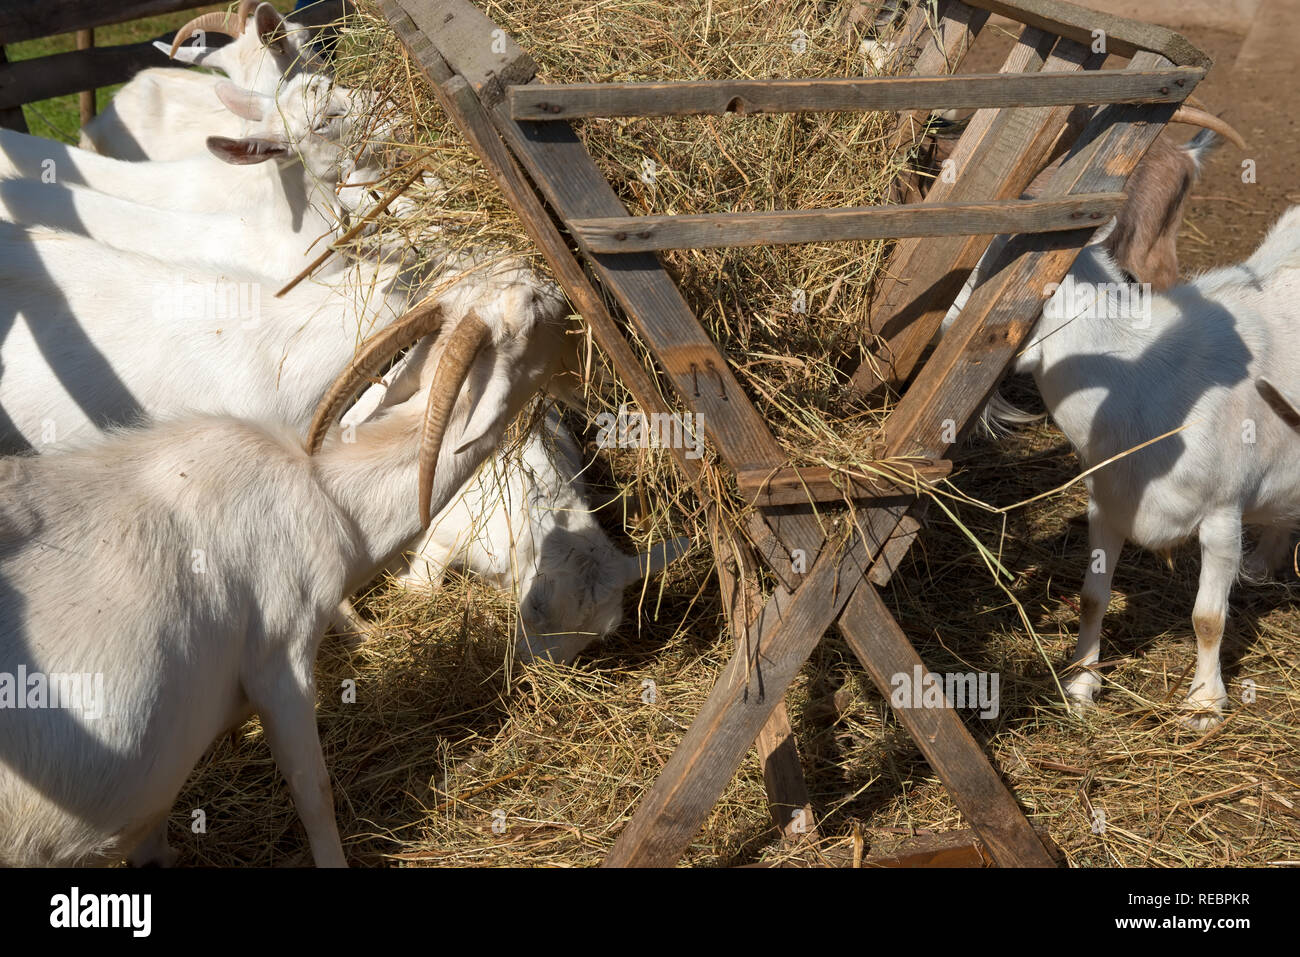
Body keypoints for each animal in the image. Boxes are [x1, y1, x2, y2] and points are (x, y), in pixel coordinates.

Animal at [0, 296, 575, 867]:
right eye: (537, 312)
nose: (564, 299)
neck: (322, 494)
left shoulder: (152, 789)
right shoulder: (281, 658)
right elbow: (313, 792)